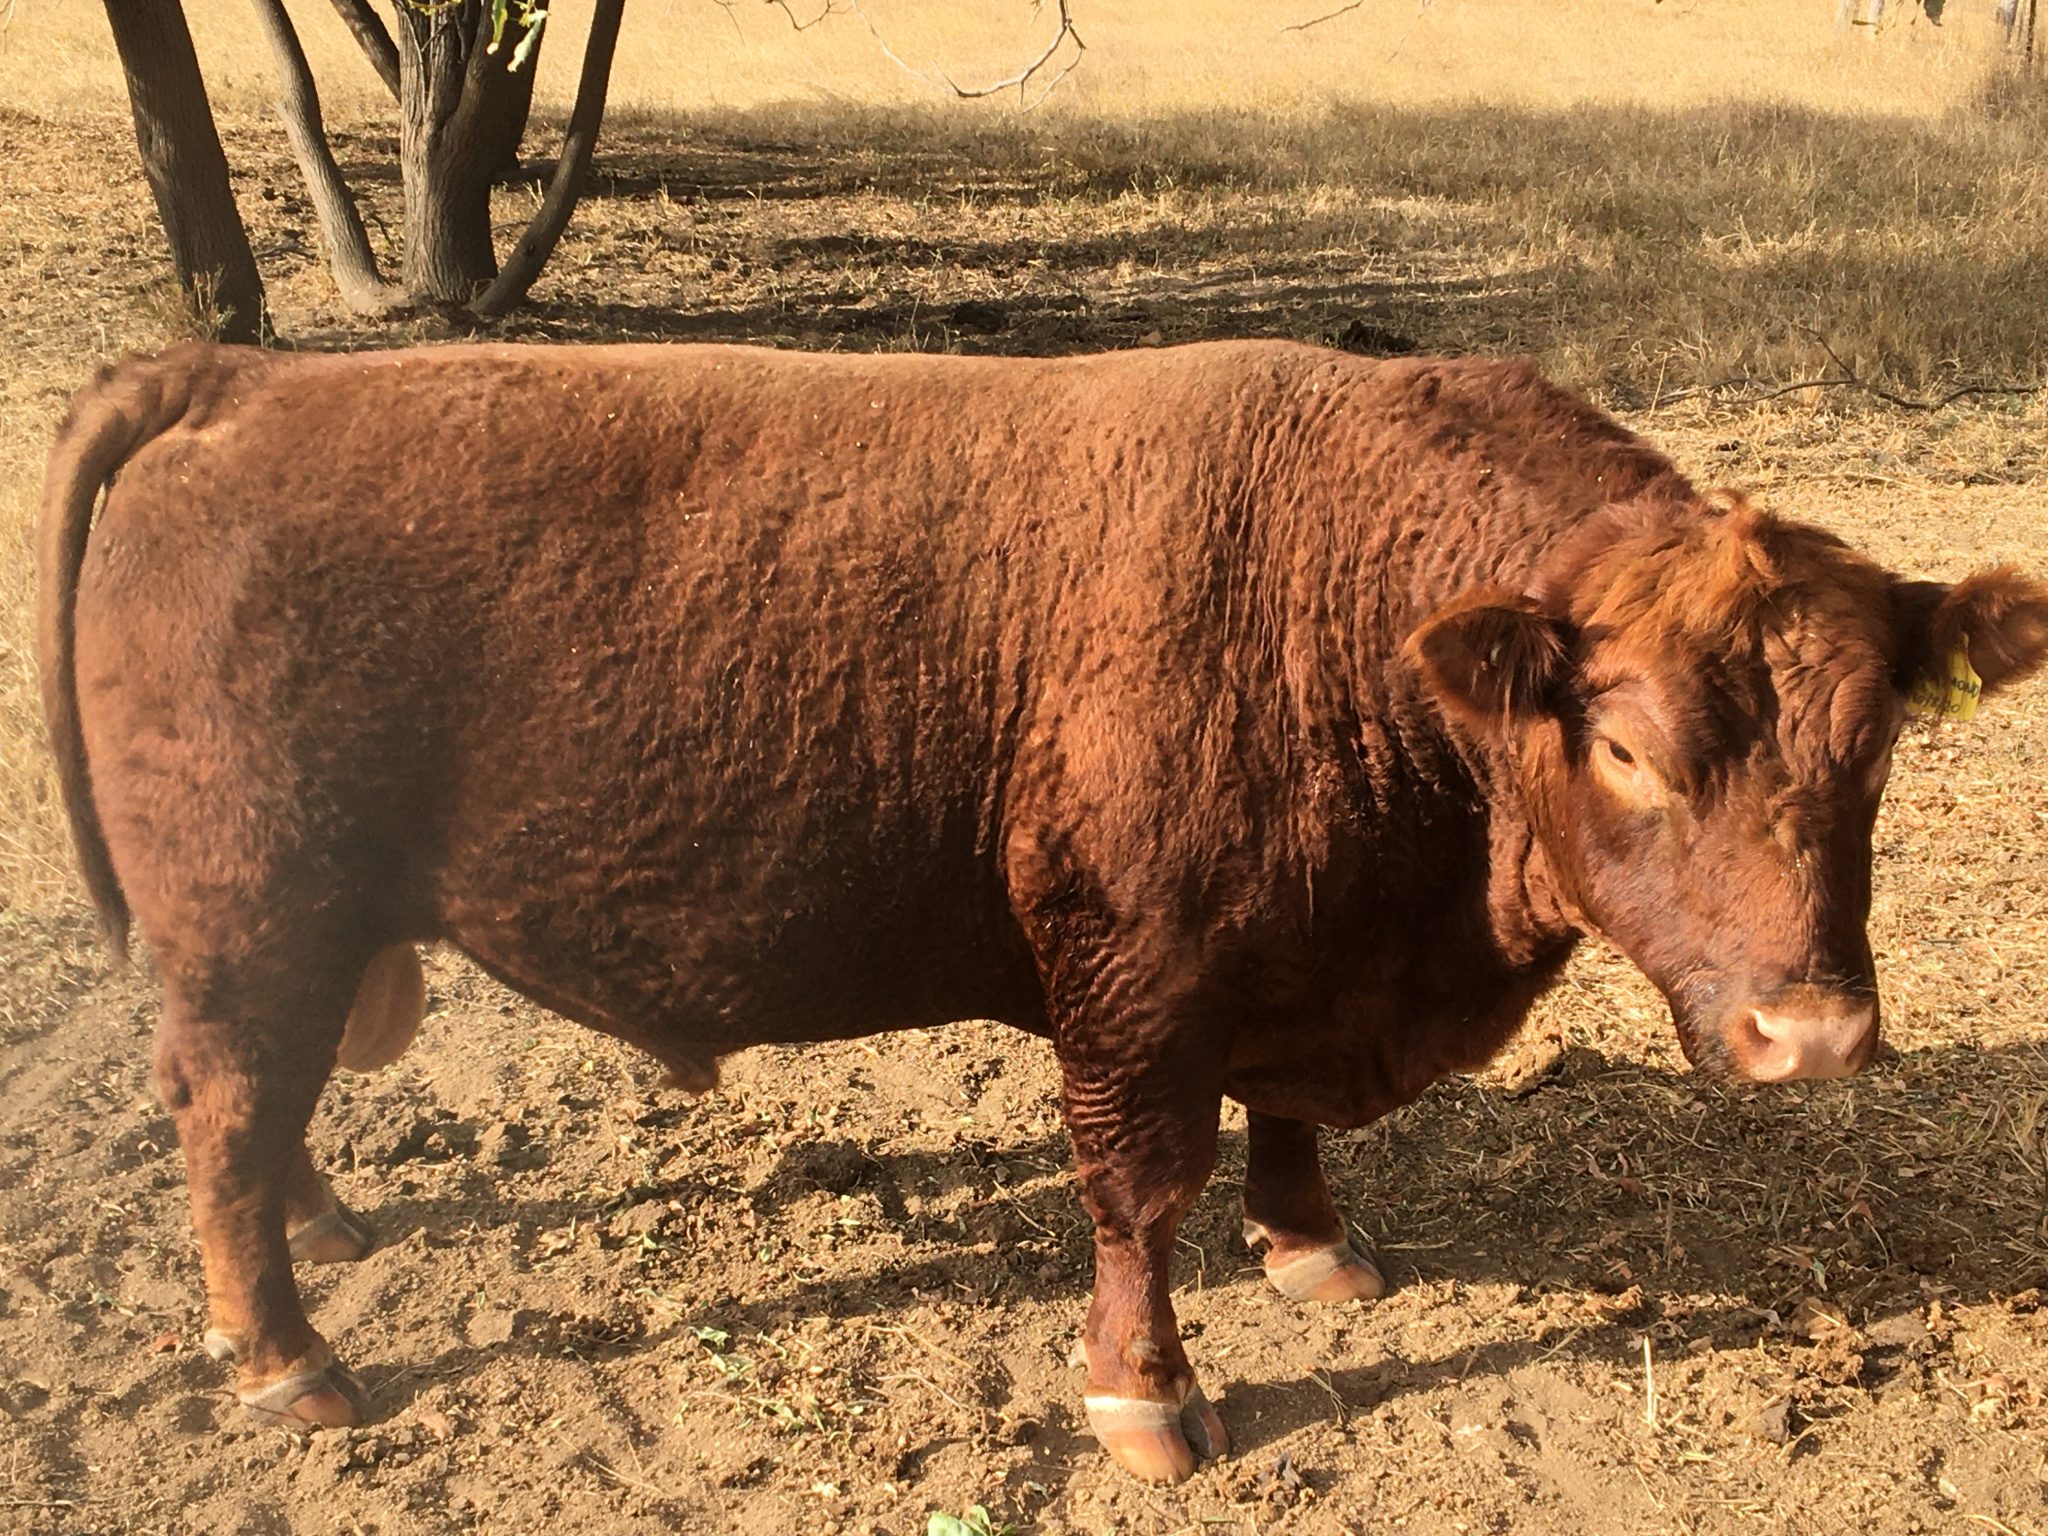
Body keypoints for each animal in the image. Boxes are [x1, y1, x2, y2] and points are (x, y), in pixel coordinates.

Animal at [38, 338, 2048, 1484]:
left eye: (1877, 736)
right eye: (1623, 745)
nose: (1813, 1032)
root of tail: (239, 375)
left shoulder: (1289, 966)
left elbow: (1285, 1125)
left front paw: (1314, 1251)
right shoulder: (1134, 987)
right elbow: (1137, 1193)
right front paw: (1147, 1403)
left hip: (280, 942)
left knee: (261, 1117)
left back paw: (326, 1236)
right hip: (253, 919)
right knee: (222, 1110)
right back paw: (291, 1361)